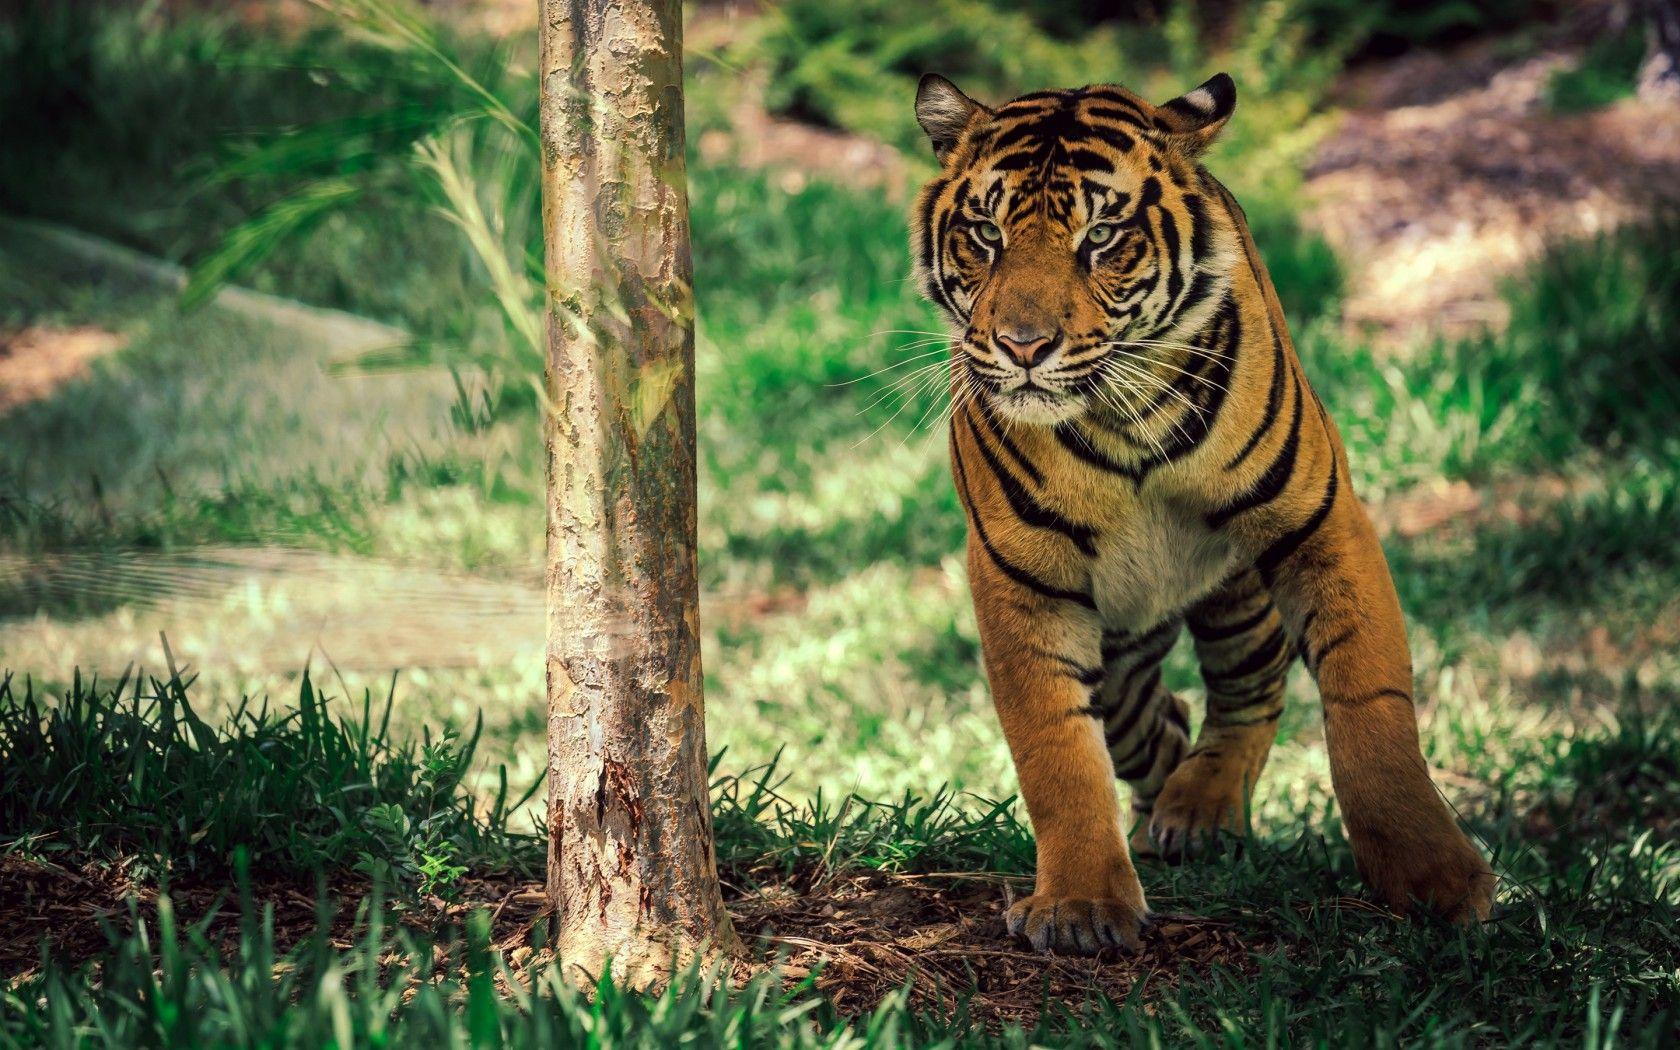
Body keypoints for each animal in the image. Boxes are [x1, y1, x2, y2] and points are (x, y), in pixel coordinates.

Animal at [909, 71, 1495, 954]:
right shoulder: (1023, 576)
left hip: (1236, 591)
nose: (1023, 346)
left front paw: (1436, 878)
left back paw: (1201, 808)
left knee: (1250, 691)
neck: (1120, 420)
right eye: (985, 233)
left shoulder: (1320, 520)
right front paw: (1082, 903)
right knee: (1153, 716)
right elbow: (1055, 748)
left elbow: (1371, 709)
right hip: (1124, 638)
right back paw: (1163, 811)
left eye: (1102, 236)